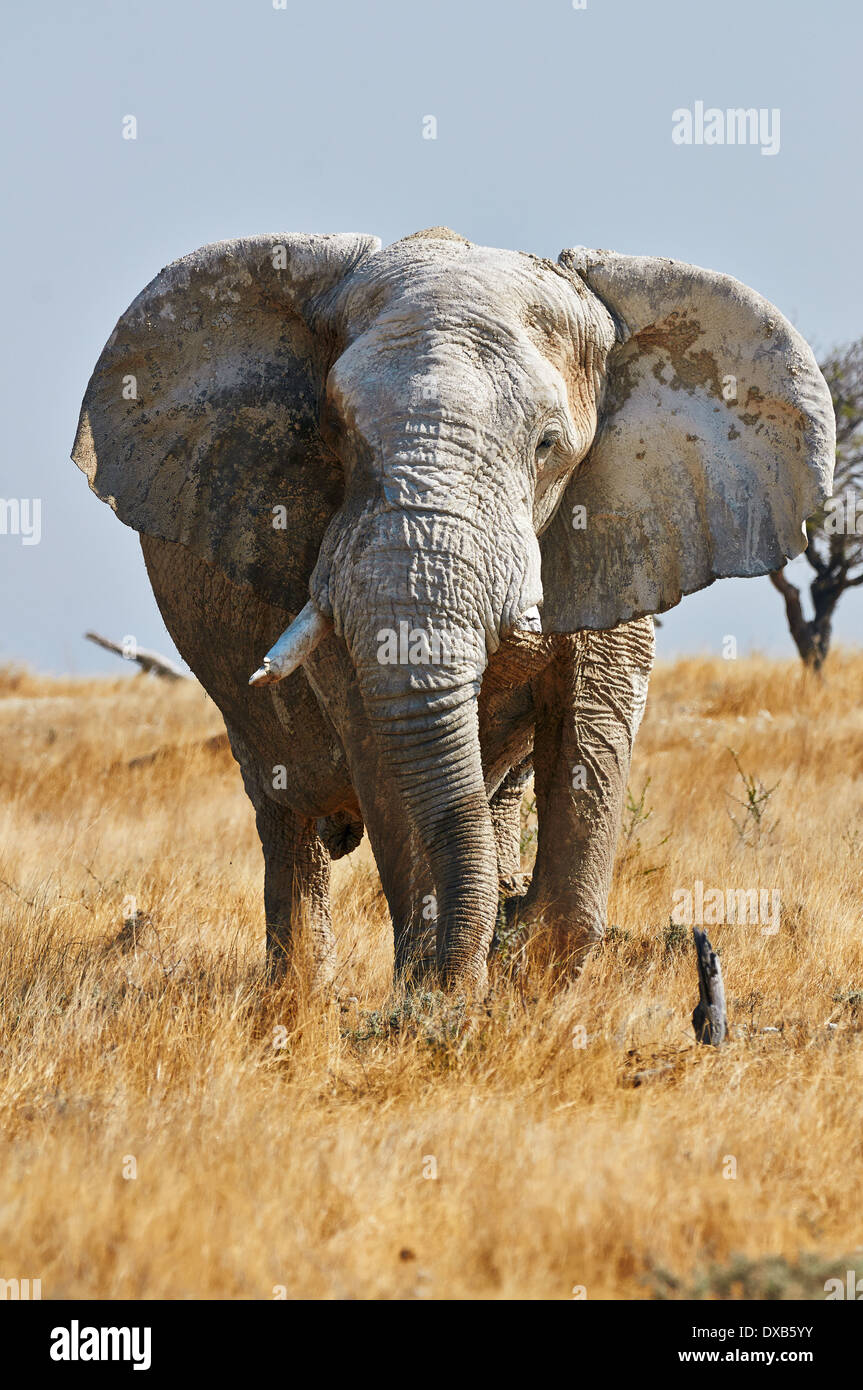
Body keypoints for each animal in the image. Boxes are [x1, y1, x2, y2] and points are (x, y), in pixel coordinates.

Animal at [72, 226, 835, 994]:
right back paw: (304, 997)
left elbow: (590, 725)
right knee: (285, 817)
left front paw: (519, 986)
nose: (461, 984)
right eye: (335, 432)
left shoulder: (621, 528)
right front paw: (436, 999)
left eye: (547, 445)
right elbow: (384, 750)